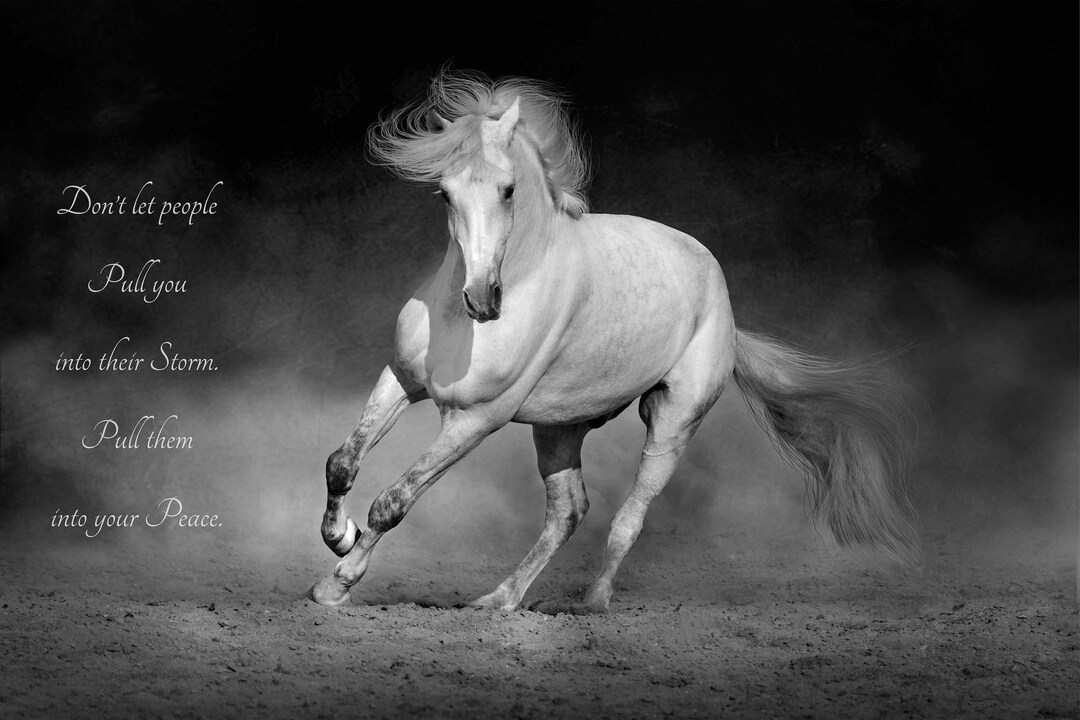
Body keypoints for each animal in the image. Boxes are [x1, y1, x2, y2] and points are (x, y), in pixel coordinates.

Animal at [311, 70, 919, 612]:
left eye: (508, 190)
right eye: (444, 193)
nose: (482, 300)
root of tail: (723, 304)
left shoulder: (475, 419)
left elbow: (394, 501)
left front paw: (336, 585)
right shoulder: (401, 380)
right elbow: (342, 462)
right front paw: (338, 539)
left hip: (672, 421)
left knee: (630, 514)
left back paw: (593, 602)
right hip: (559, 427)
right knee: (568, 512)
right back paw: (497, 601)